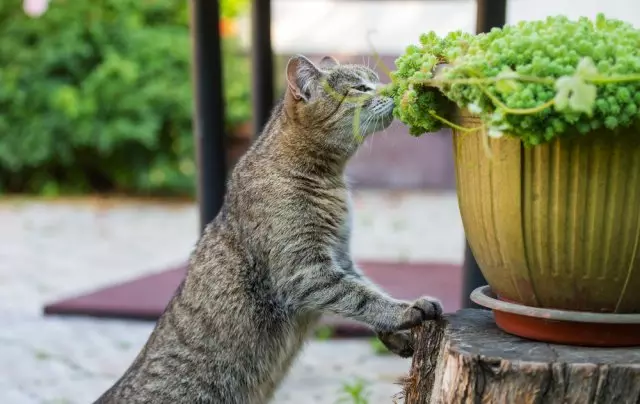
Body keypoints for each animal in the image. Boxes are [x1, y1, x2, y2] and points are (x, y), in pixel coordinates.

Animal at [95, 54, 442, 404]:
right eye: (360, 87)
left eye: (375, 80)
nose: (392, 89)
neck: (328, 178)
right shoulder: (305, 270)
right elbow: (361, 298)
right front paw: (405, 311)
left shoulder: (341, 258)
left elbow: (366, 289)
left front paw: (394, 334)